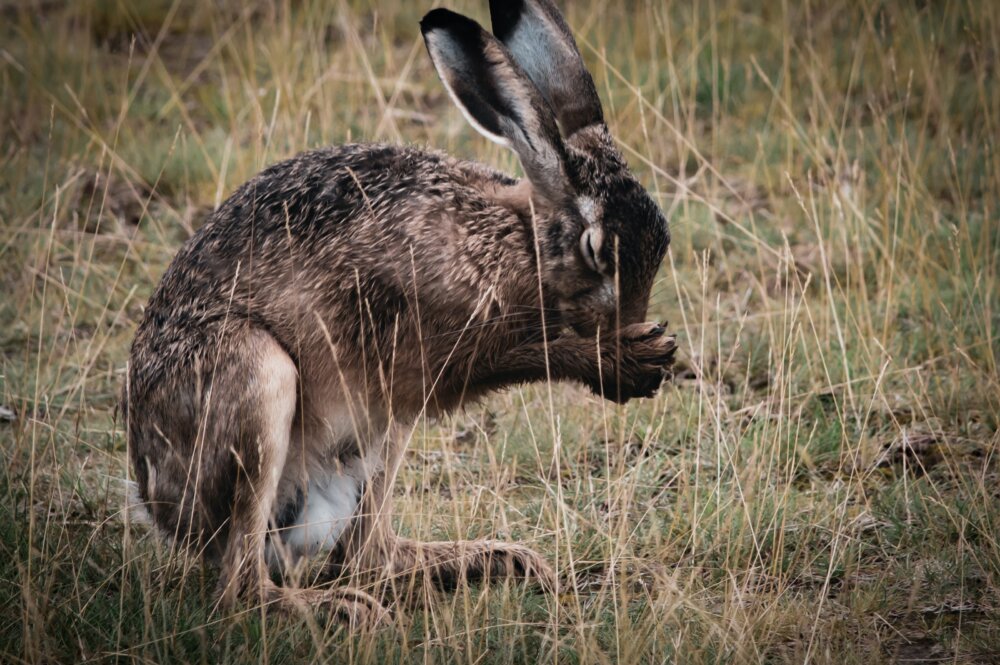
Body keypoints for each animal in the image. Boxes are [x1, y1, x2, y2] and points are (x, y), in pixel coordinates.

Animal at [122, 0, 675, 626]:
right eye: (598, 249)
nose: (630, 322)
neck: (521, 240)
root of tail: (159, 504)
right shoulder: (439, 341)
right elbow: (535, 350)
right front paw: (630, 359)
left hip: (383, 433)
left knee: (367, 554)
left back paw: (497, 560)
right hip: (257, 378)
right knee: (242, 586)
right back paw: (340, 609)